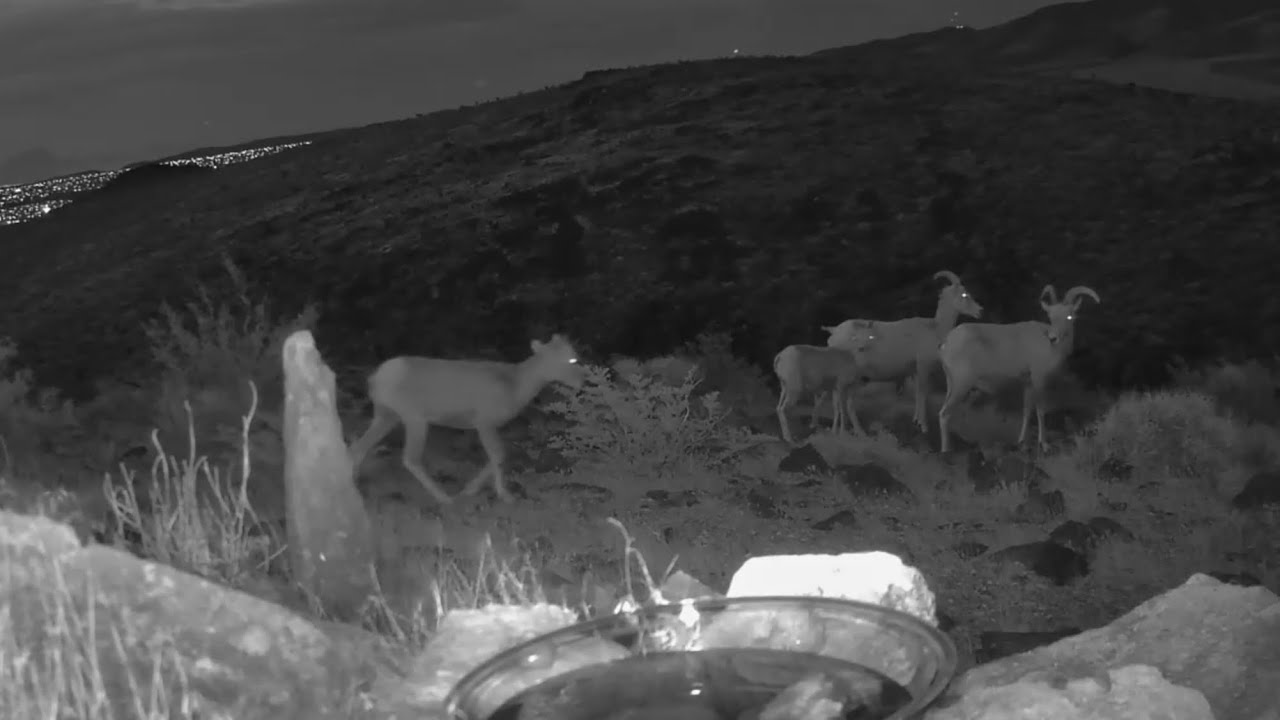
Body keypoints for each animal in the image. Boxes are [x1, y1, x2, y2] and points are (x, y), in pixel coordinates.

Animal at [347, 334, 585, 505]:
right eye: (571, 358)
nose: (581, 382)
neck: (515, 386)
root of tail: (375, 379)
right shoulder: (484, 421)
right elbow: (499, 454)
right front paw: (505, 496)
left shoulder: (486, 425)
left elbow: (496, 455)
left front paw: (469, 490)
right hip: (413, 416)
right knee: (410, 458)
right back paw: (444, 497)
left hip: (386, 414)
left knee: (360, 446)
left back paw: (355, 485)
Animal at [820, 270, 984, 434]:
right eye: (964, 294)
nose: (980, 311)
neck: (936, 328)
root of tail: (833, 333)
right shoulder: (924, 366)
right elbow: (923, 393)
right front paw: (924, 426)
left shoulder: (914, 371)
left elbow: (918, 395)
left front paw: (916, 421)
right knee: (844, 401)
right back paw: (855, 431)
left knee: (838, 401)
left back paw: (842, 430)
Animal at [937, 284, 1101, 453]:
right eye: (1051, 316)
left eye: (1069, 317)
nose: (1053, 338)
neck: (1051, 348)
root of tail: (946, 344)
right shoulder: (1039, 380)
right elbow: (1041, 410)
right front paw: (1044, 445)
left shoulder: (1027, 383)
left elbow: (1027, 411)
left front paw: (1022, 442)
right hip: (962, 385)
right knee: (944, 414)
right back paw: (946, 450)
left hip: (953, 384)